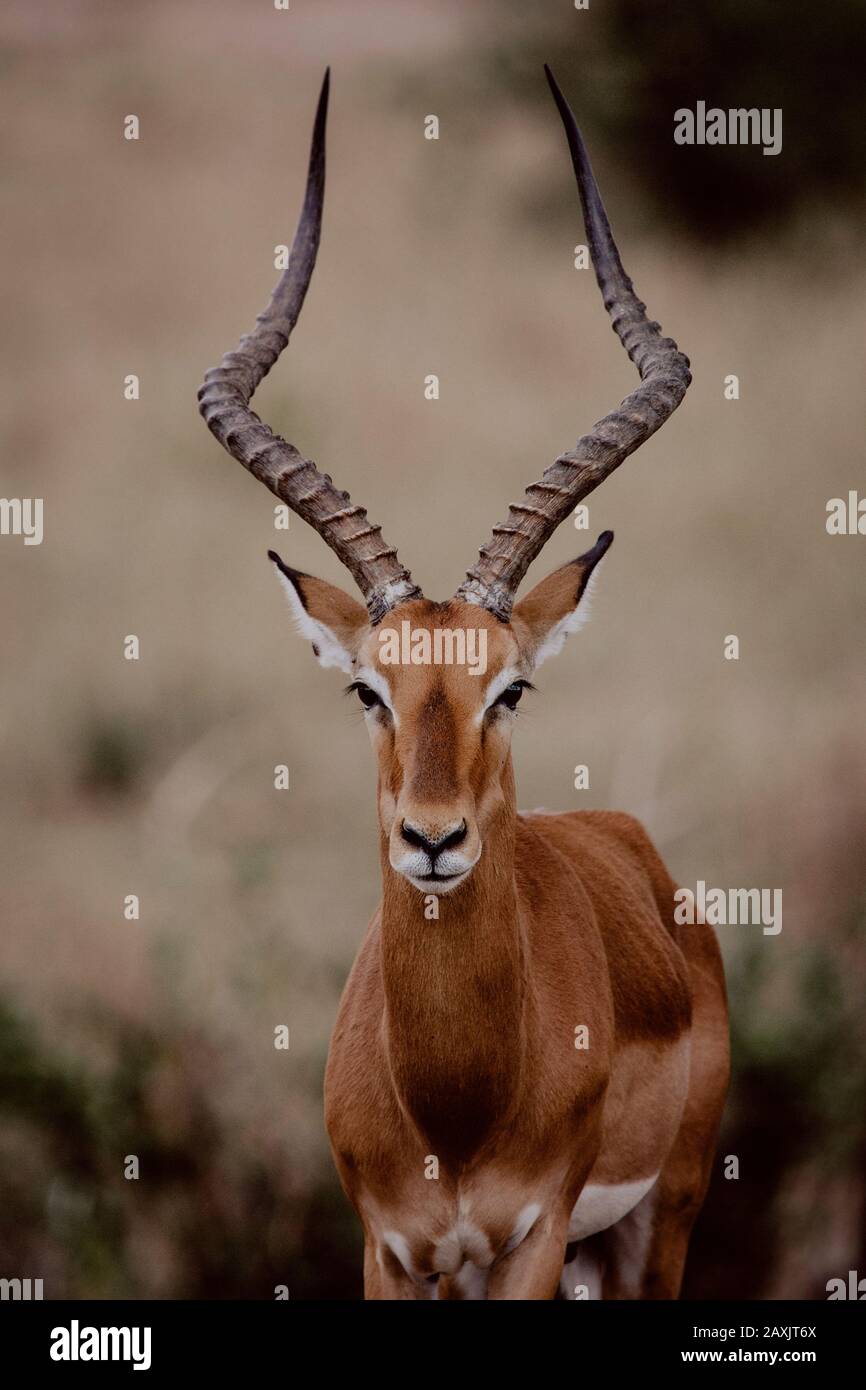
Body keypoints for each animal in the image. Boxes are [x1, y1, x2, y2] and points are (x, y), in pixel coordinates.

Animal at [198, 67, 729, 1300]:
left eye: (510, 691)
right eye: (366, 691)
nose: (433, 839)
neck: (452, 1104)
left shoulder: (532, 1237)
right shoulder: (389, 1249)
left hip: (653, 1224)